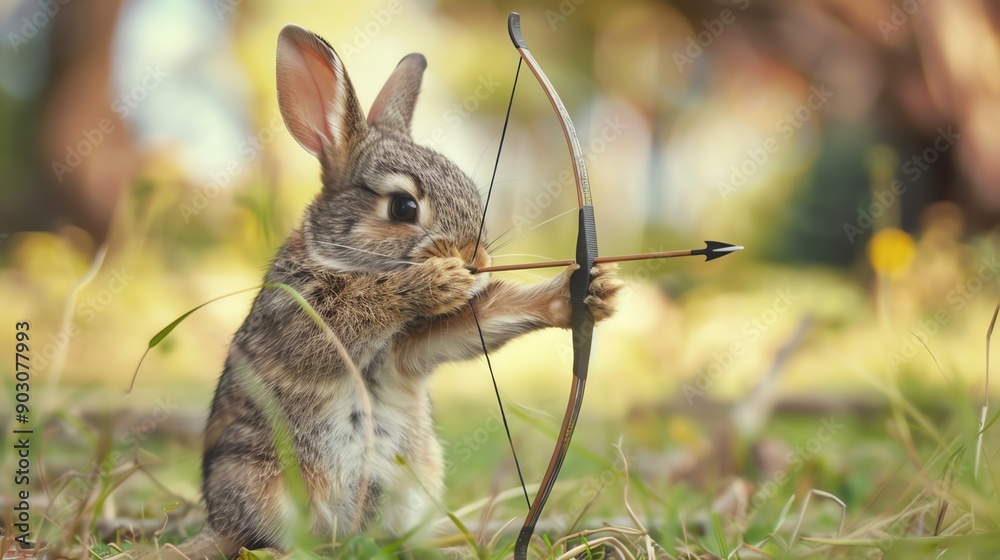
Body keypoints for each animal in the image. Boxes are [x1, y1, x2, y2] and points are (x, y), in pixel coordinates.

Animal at [141, 23, 621, 559]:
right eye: (403, 207)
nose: (476, 262)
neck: (342, 260)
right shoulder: (297, 314)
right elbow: (351, 319)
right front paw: (437, 282)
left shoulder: (405, 351)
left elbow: (463, 331)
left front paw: (586, 292)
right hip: (262, 479)